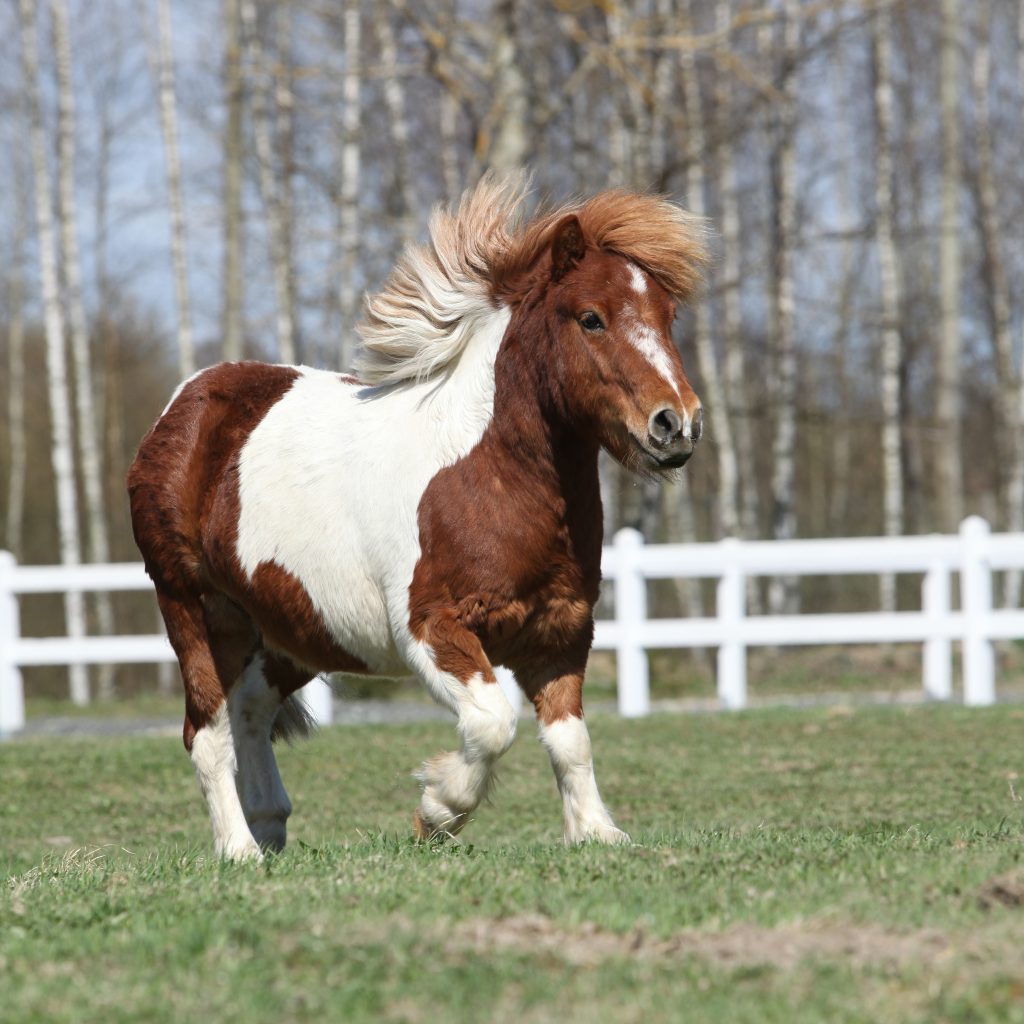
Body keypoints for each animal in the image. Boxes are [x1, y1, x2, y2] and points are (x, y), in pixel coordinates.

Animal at [127, 175, 707, 860]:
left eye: (668, 318)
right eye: (591, 317)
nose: (676, 425)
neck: (485, 477)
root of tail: (181, 408)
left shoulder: (561, 633)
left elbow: (570, 740)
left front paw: (595, 832)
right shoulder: (433, 631)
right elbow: (494, 724)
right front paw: (436, 812)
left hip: (292, 630)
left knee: (248, 711)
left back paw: (268, 828)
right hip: (194, 609)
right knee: (207, 732)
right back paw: (239, 849)